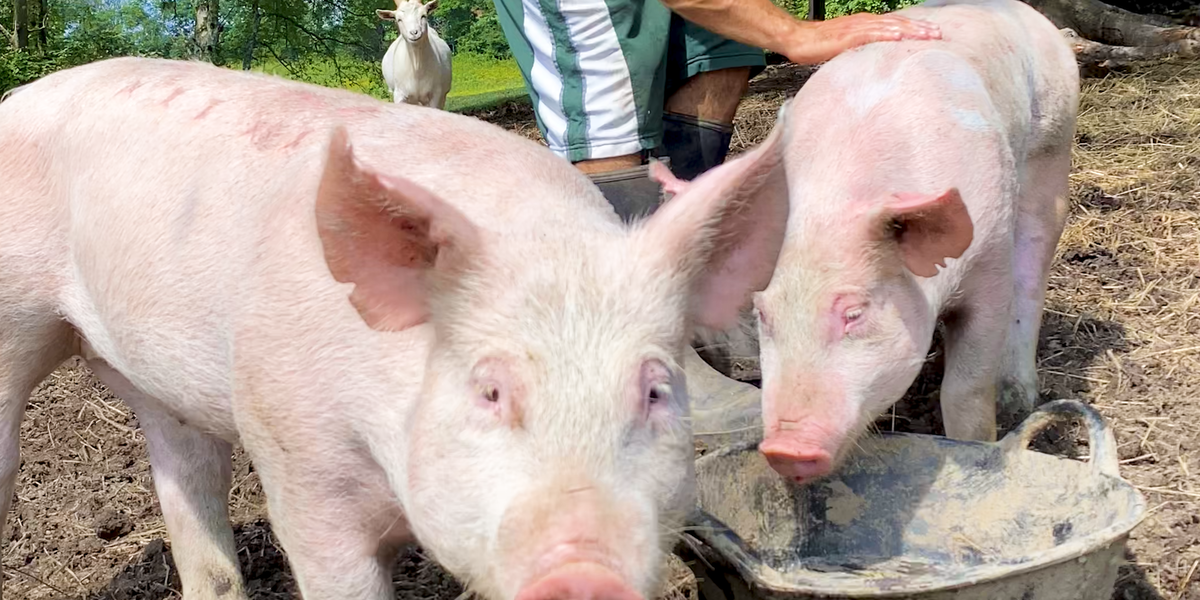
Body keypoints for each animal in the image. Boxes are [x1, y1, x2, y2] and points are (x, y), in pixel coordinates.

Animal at [0, 57, 789, 599]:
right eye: (489, 391)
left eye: (655, 391)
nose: (585, 572)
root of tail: (21, 96)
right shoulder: (294, 454)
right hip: (16, 320)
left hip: (159, 386)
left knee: (188, 488)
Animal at [661, 0, 1079, 483]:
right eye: (763, 313)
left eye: (854, 313)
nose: (785, 448)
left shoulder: (989, 262)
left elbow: (967, 389)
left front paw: (974, 447)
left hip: (1053, 145)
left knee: (1034, 261)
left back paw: (1018, 398)